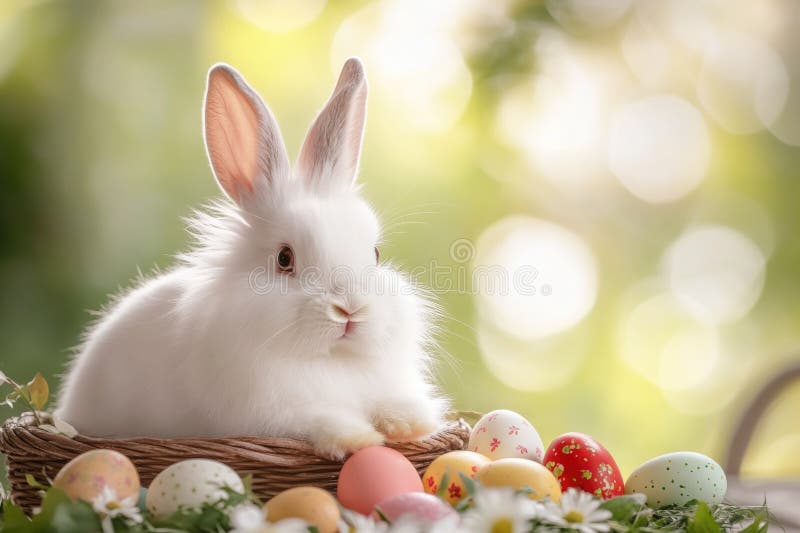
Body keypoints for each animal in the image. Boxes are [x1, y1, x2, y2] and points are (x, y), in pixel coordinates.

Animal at [55, 58, 448, 459]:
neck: (330, 359)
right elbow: (323, 419)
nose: (350, 310)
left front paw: (412, 425)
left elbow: (393, 403)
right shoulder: (276, 415)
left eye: (375, 254)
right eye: (285, 258)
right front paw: (360, 440)